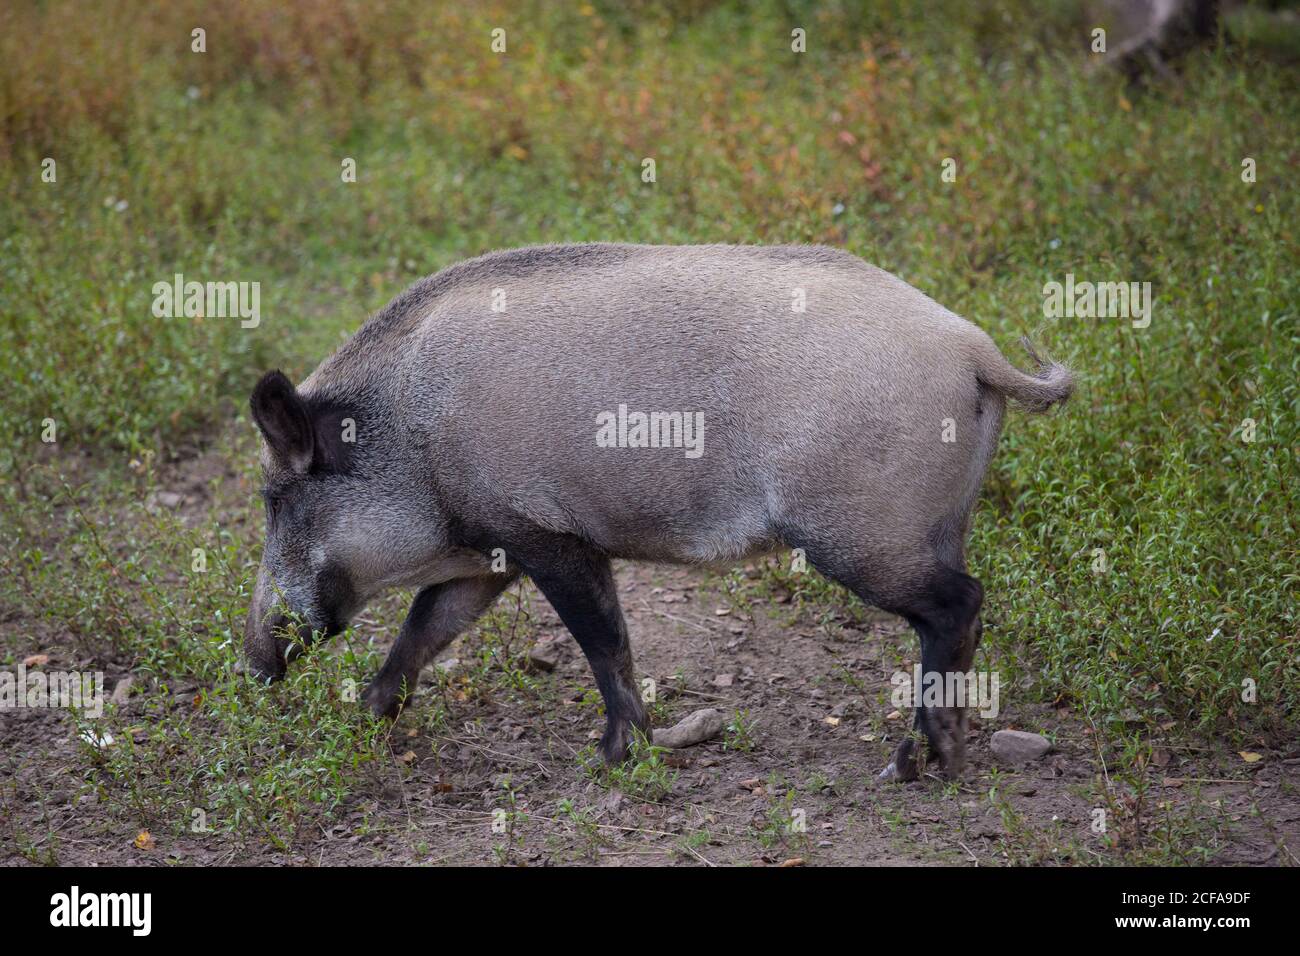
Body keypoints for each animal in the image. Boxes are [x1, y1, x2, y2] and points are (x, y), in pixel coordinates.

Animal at [244, 243, 1073, 781]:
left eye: (275, 499)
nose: (254, 664)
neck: (409, 436)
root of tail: (974, 348)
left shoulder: (549, 536)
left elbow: (603, 641)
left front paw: (609, 760)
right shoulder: (491, 554)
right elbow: (426, 629)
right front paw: (365, 716)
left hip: (861, 534)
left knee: (959, 606)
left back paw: (923, 768)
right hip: (937, 525)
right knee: (952, 621)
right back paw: (919, 759)